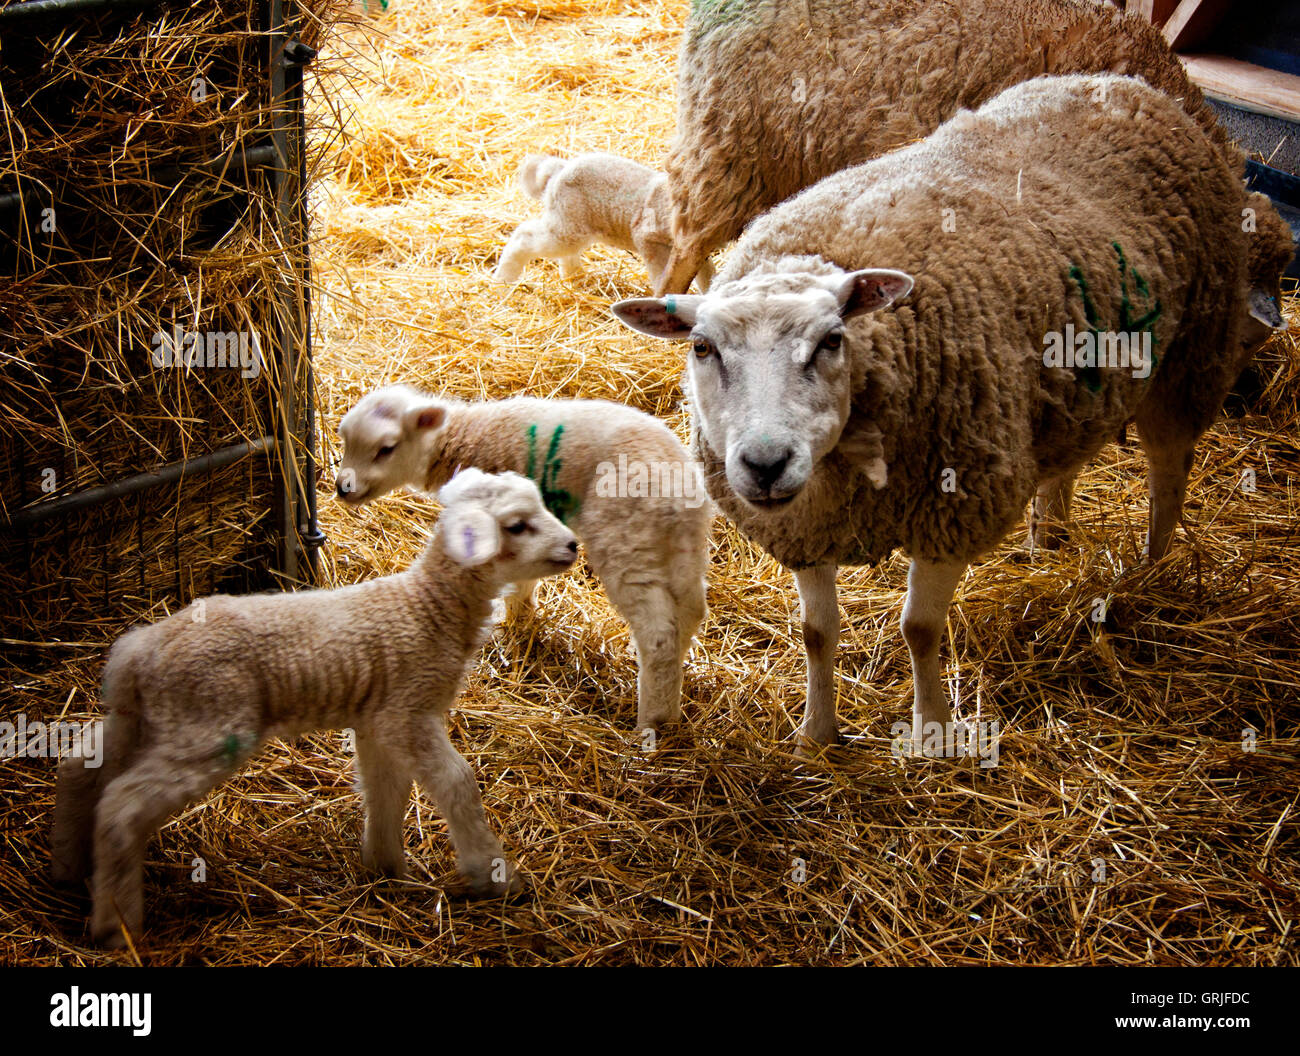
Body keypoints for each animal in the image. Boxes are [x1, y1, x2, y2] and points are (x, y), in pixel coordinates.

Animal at [49, 469, 578, 947]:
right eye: (516, 525)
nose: (573, 546)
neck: (427, 607)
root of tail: (139, 651)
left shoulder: (377, 722)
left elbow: (386, 789)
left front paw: (386, 868)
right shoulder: (407, 712)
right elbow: (457, 783)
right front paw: (493, 875)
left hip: (146, 718)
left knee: (81, 766)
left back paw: (68, 870)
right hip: (208, 725)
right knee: (121, 805)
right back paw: (115, 925)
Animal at [336, 384, 712, 732]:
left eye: (386, 448)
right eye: (344, 441)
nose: (343, 488)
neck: (461, 439)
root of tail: (680, 492)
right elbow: (524, 577)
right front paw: (521, 619)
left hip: (626, 543)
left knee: (657, 635)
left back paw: (651, 723)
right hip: (679, 549)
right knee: (689, 614)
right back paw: (673, 706)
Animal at [493, 152, 713, 291]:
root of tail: (559, 169)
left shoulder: (695, 251)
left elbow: (706, 276)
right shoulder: (647, 237)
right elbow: (665, 278)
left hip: (571, 222)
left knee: (566, 254)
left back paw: (576, 279)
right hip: (566, 228)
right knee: (523, 237)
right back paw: (502, 283)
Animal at [613, 74, 1293, 752]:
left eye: (832, 340)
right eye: (702, 348)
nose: (765, 464)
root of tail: (1127, 85)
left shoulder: (954, 504)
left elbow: (919, 631)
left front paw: (933, 731)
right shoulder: (807, 529)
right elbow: (816, 633)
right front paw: (816, 734)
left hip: (1191, 354)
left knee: (1168, 471)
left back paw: (1150, 568)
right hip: (1073, 384)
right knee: (1066, 459)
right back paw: (1048, 540)